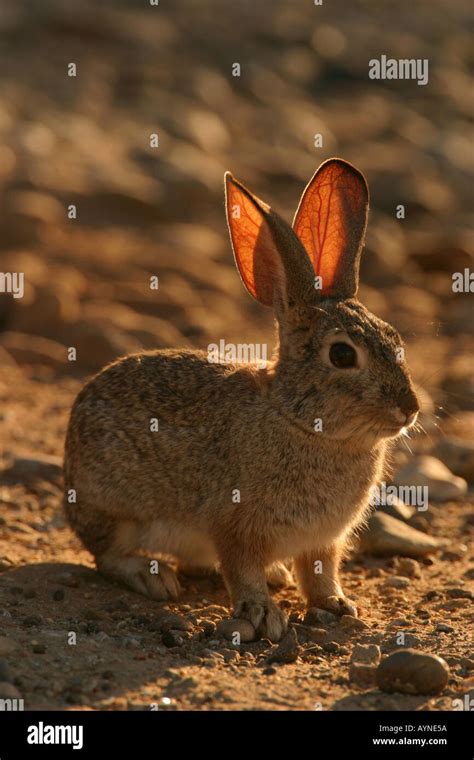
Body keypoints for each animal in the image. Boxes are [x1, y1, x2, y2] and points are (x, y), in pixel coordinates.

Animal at [63, 158, 420, 642]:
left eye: (395, 338)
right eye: (343, 355)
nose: (410, 408)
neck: (302, 421)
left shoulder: (323, 541)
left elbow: (320, 574)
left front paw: (338, 605)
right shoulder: (236, 527)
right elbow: (242, 570)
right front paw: (263, 615)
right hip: (116, 507)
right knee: (107, 553)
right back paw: (151, 577)